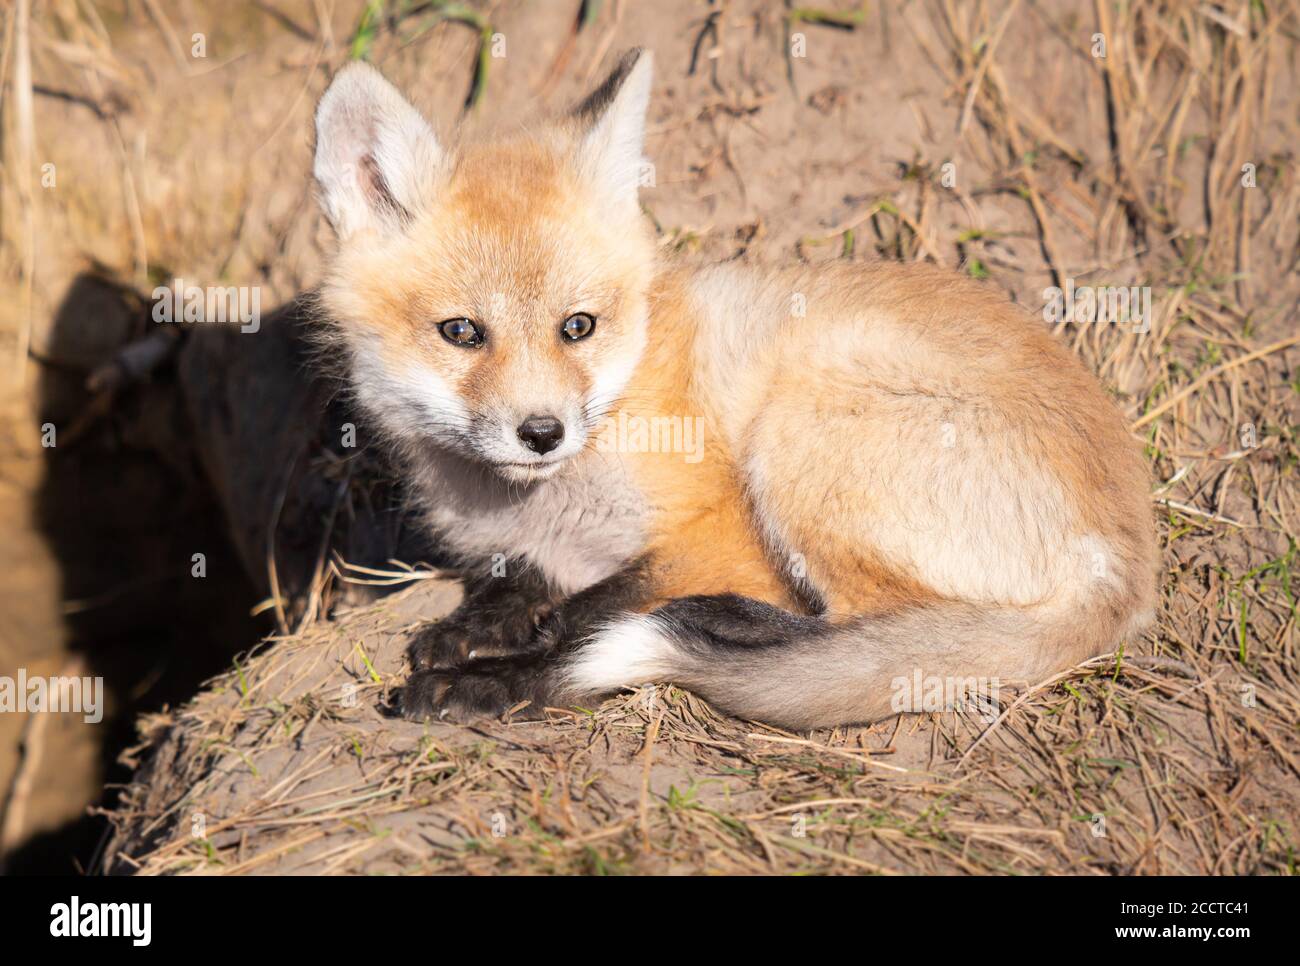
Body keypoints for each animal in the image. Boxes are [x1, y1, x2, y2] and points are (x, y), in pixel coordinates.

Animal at [310, 49, 1157, 729]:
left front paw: (503, 670)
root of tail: (1129, 556)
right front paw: (476, 628)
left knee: (859, 630)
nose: (542, 433)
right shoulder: (536, 549)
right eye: (461, 332)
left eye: (577, 326)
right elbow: (523, 587)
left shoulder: (723, 532)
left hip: (799, 436)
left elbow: (589, 614)